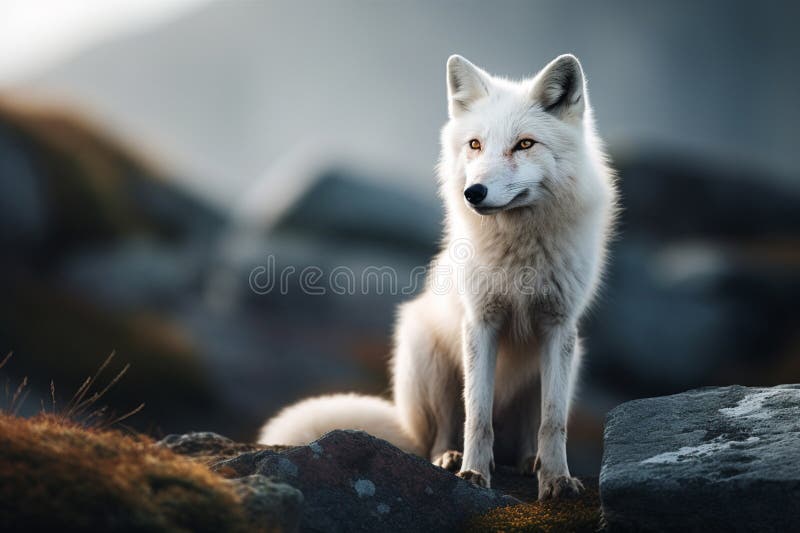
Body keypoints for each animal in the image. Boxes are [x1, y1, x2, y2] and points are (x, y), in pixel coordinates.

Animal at [260, 54, 616, 498]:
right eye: (475, 144)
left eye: (525, 144)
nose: (474, 192)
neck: (520, 254)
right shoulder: (480, 322)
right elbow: (477, 416)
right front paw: (474, 474)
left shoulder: (558, 325)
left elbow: (553, 423)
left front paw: (556, 480)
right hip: (427, 359)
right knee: (440, 434)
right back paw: (449, 458)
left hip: (567, 362)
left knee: (529, 432)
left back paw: (526, 461)